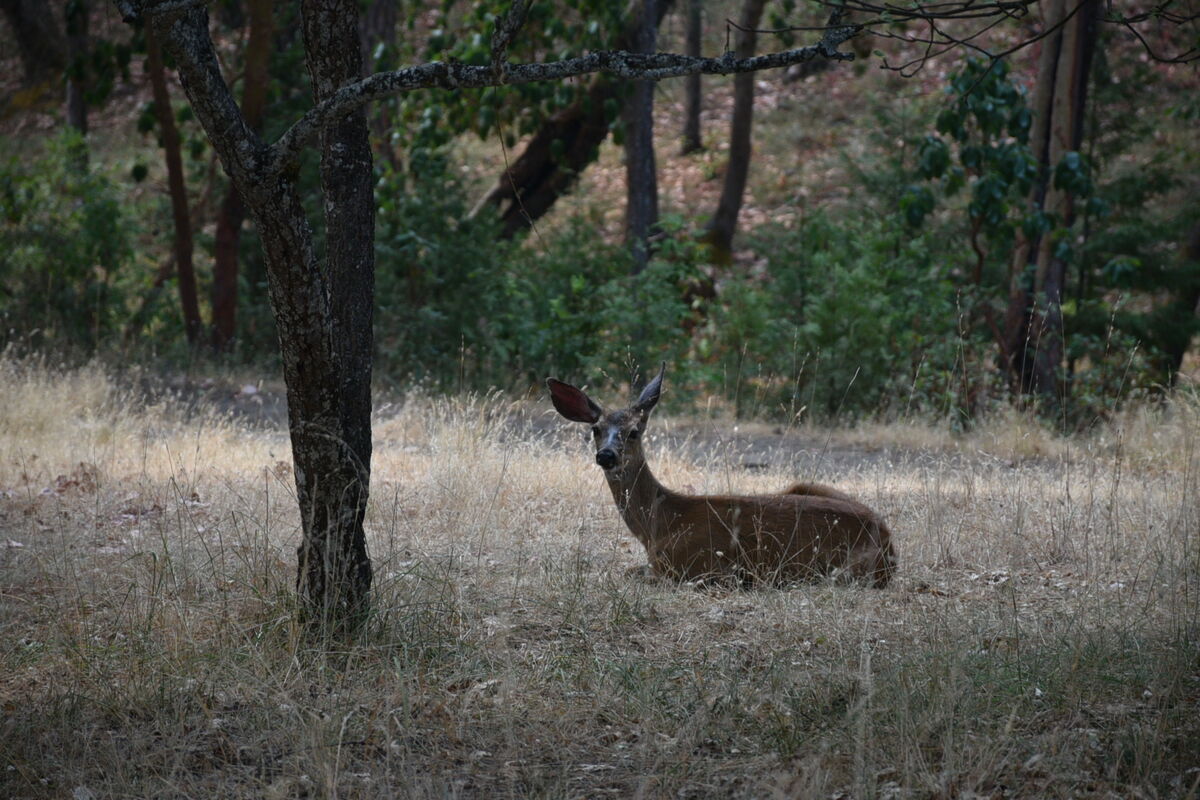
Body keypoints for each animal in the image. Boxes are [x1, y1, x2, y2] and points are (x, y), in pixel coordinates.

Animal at [546, 365, 896, 587]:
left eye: (634, 432)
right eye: (596, 429)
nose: (606, 455)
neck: (659, 524)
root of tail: (888, 543)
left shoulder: (691, 567)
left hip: (839, 571)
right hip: (805, 486)